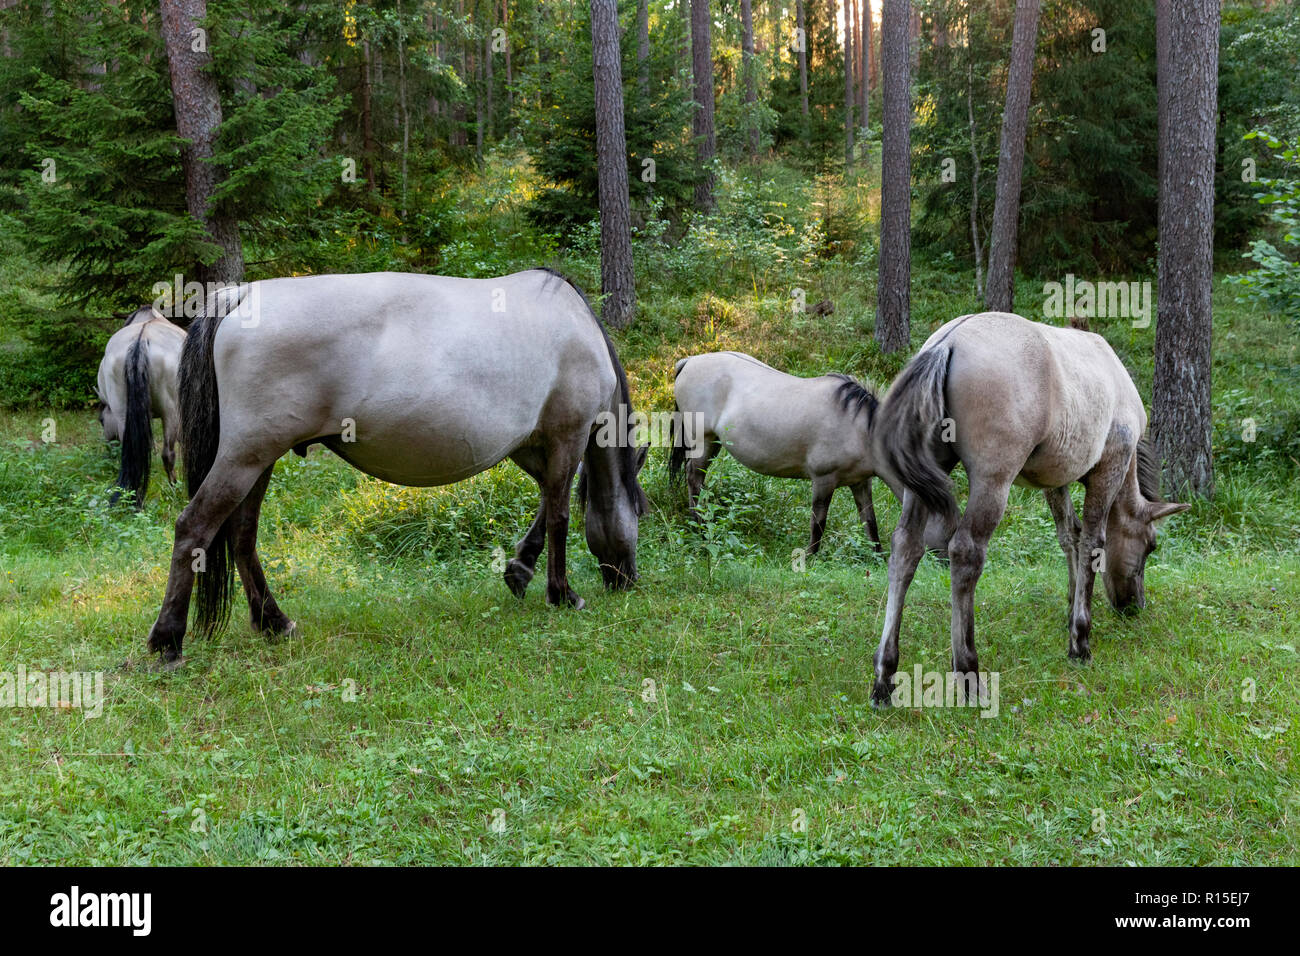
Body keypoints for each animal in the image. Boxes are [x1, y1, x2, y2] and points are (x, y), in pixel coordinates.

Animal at [95, 306, 186, 508]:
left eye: (101, 420)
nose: (108, 450)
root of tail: (141, 339)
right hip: (171, 412)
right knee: (168, 454)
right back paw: (175, 489)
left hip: (123, 413)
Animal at [145, 269, 648, 666]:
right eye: (641, 515)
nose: (628, 580)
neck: (576, 327)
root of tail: (242, 296)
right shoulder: (568, 436)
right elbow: (561, 516)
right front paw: (562, 593)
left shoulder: (530, 446)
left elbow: (546, 506)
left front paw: (519, 571)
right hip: (246, 457)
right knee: (194, 526)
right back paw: (168, 641)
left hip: (258, 460)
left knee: (241, 536)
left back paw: (274, 622)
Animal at [669, 350, 888, 555]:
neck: (857, 427)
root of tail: (690, 361)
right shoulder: (823, 480)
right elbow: (818, 523)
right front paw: (810, 556)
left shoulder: (861, 483)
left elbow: (870, 522)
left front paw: (879, 557)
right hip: (702, 441)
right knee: (694, 479)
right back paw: (700, 529)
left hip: (713, 443)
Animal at [869, 312, 1189, 707]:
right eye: (1150, 547)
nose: (1134, 605)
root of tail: (948, 342)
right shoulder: (1110, 467)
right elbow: (1092, 542)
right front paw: (1080, 638)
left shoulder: (1056, 478)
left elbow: (1069, 536)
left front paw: (1071, 609)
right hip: (993, 481)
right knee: (965, 552)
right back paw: (969, 672)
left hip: (923, 485)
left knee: (905, 549)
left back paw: (884, 675)